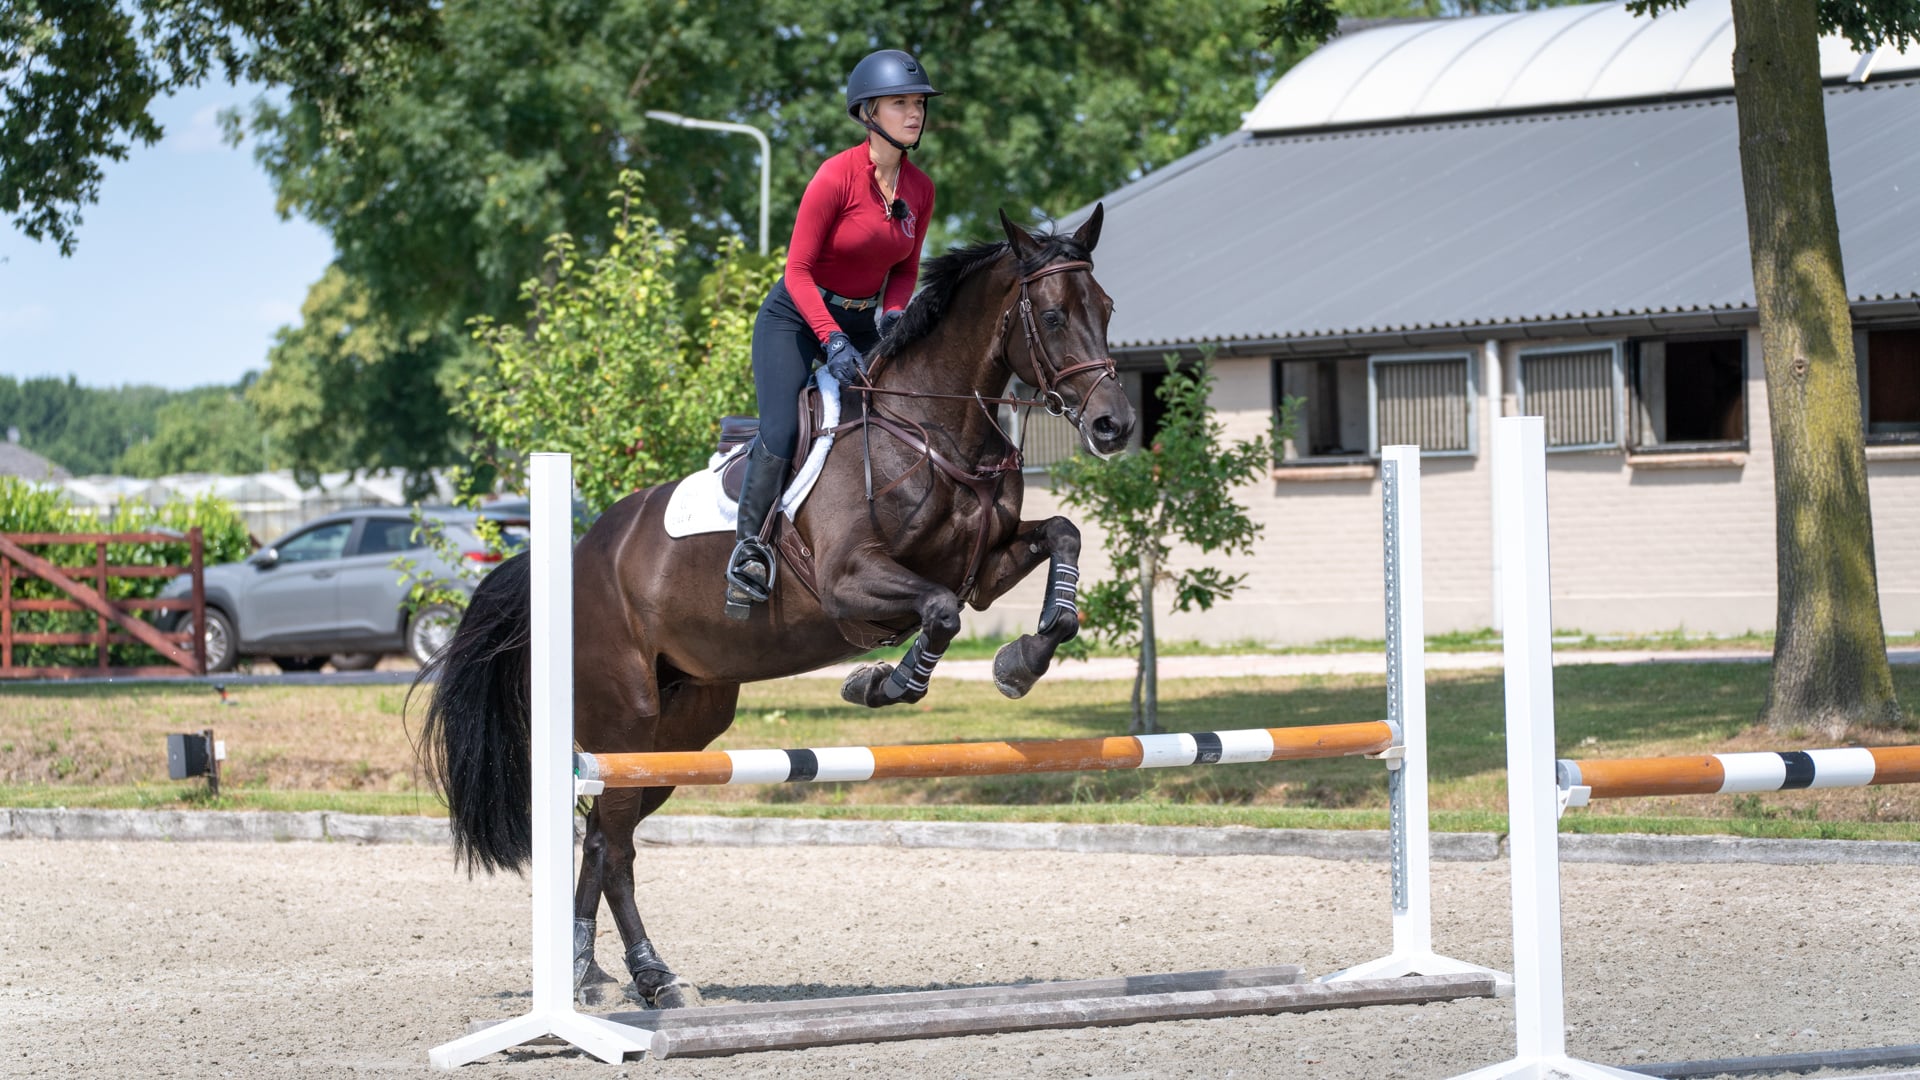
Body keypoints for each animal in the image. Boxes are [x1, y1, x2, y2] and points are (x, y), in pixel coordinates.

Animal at [420, 205, 1128, 1006]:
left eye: (1106, 310)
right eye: (1052, 315)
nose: (1115, 426)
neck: (932, 429)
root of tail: (572, 558)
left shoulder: (986, 565)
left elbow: (1060, 538)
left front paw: (1022, 660)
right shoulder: (852, 584)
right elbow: (940, 612)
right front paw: (880, 683)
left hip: (683, 727)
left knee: (606, 838)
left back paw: (601, 976)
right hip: (623, 719)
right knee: (611, 840)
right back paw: (644, 978)